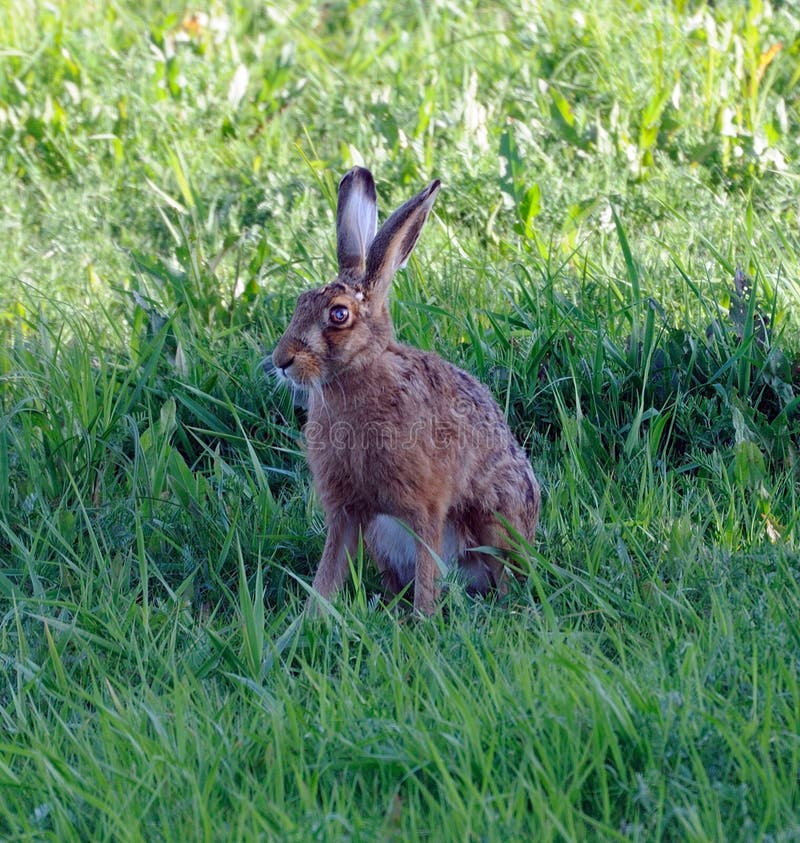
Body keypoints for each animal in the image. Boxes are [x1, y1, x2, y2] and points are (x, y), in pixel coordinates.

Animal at [271, 166, 540, 615]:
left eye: (339, 315)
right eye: (298, 304)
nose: (281, 360)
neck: (359, 378)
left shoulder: (425, 505)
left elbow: (428, 565)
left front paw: (424, 617)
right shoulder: (346, 510)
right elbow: (329, 568)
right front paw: (312, 618)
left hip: (494, 518)